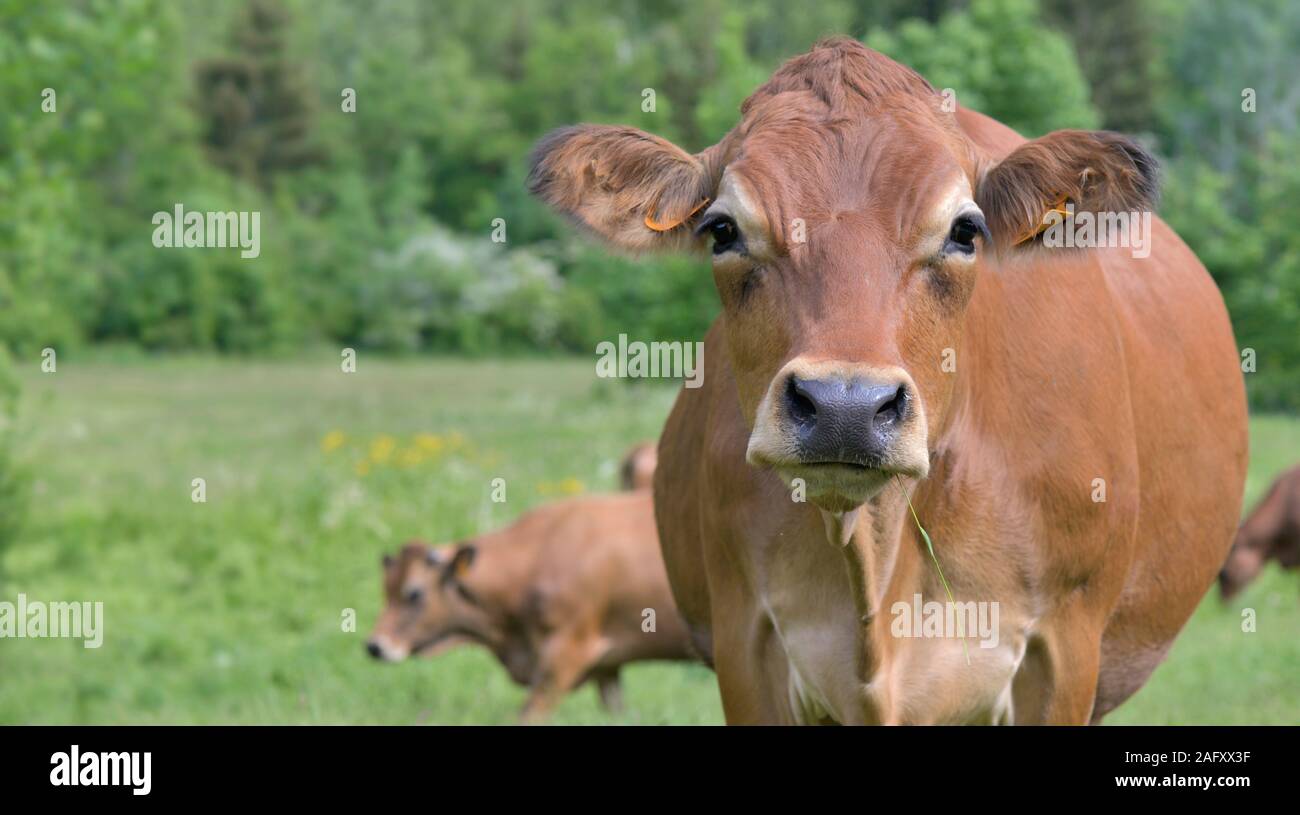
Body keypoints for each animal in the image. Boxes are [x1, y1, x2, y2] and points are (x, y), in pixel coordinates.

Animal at [528, 38, 1248, 724]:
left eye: (966, 230)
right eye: (722, 229)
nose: (843, 406)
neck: (874, 556)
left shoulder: (1064, 652)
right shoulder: (745, 642)